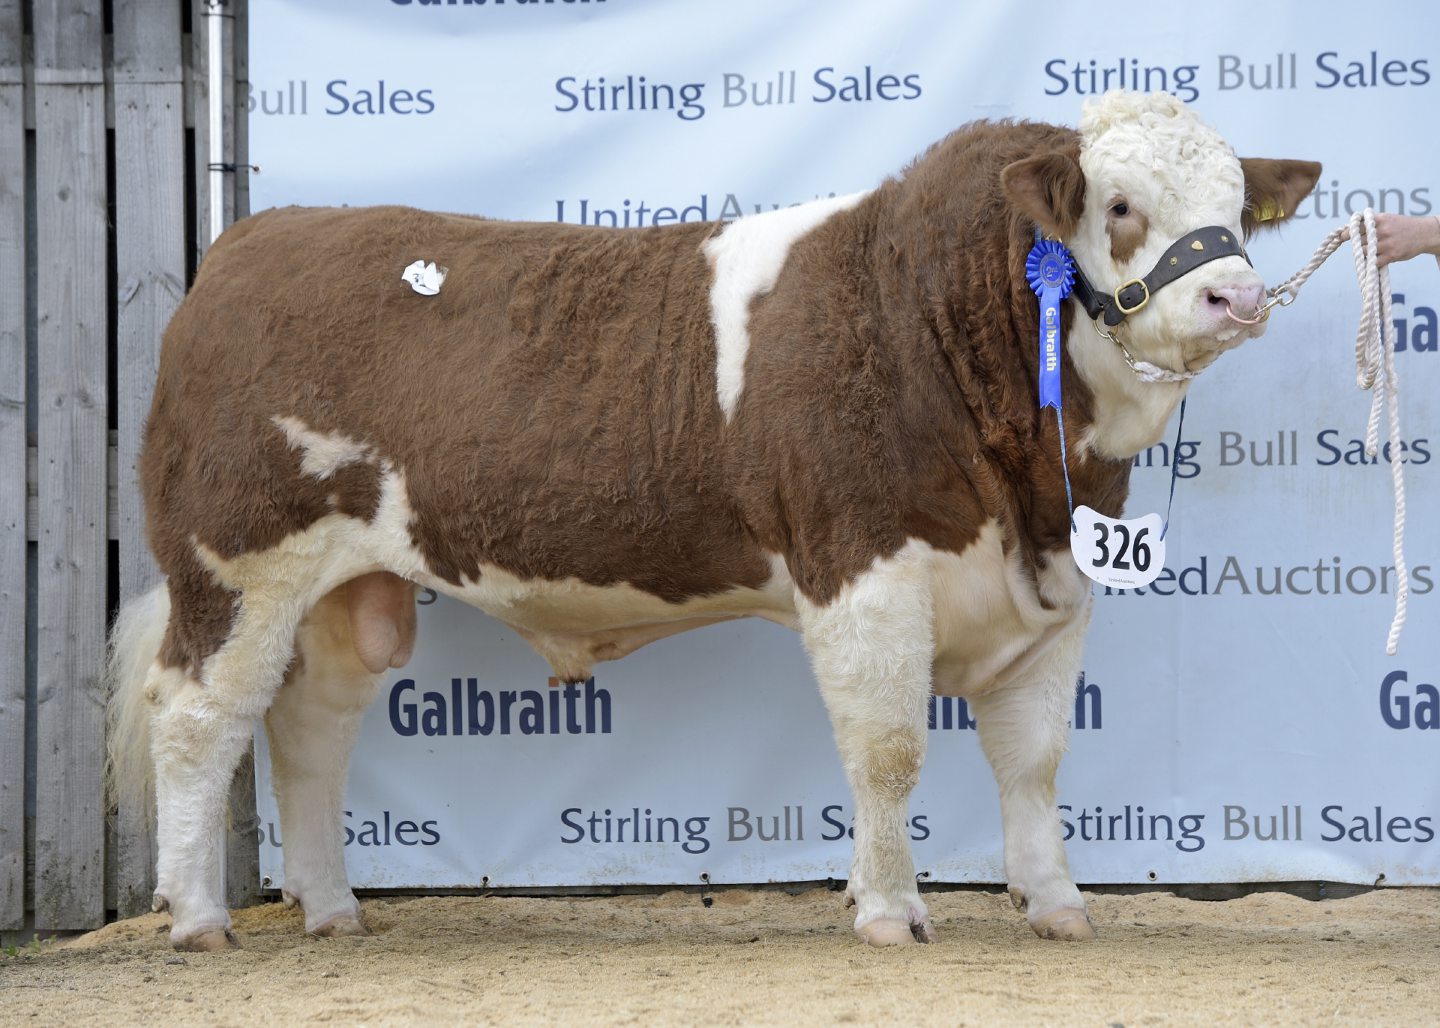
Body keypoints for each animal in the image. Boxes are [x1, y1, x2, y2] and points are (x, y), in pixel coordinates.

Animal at [106, 90, 1320, 952]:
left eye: (1234, 206)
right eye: (1119, 206)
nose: (1238, 298)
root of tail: (248, 244)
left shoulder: (1058, 586)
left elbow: (1034, 759)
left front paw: (1057, 902)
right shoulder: (862, 568)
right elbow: (888, 751)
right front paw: (890, 910)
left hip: (348, 590)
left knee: (311, 726)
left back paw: (330, 906)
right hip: (234, 564)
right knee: (200, 719)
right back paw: (199, 919)